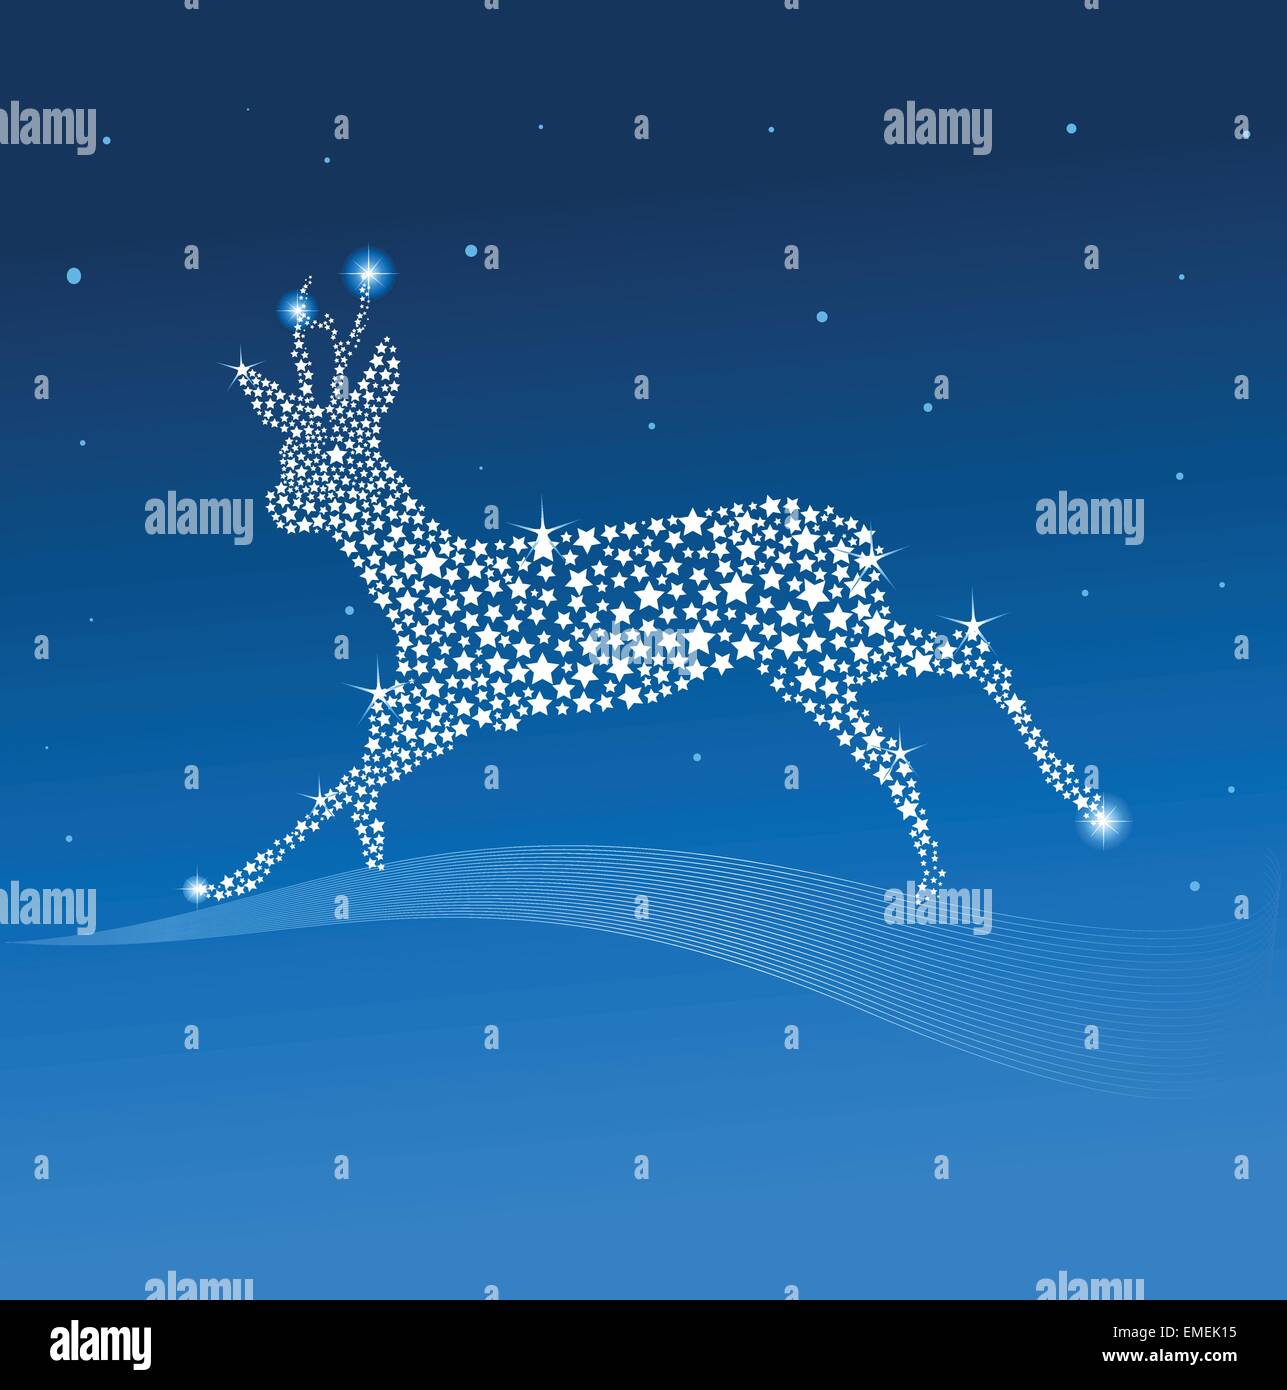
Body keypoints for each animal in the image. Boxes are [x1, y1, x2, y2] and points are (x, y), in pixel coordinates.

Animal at [200, 276, 1103, 905]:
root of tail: (853, 536)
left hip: (824, 644)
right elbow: (357, 792)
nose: (276, 509)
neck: (420, 588)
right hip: (819, 660)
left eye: (322, 456)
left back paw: (1037, 821)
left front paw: (235, 887)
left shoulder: (447, 709)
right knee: (918, 708)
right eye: (287, 455)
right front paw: (359, 891)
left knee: (955, 665)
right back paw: (979, 851)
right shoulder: (417, 713)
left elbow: (340, 790)